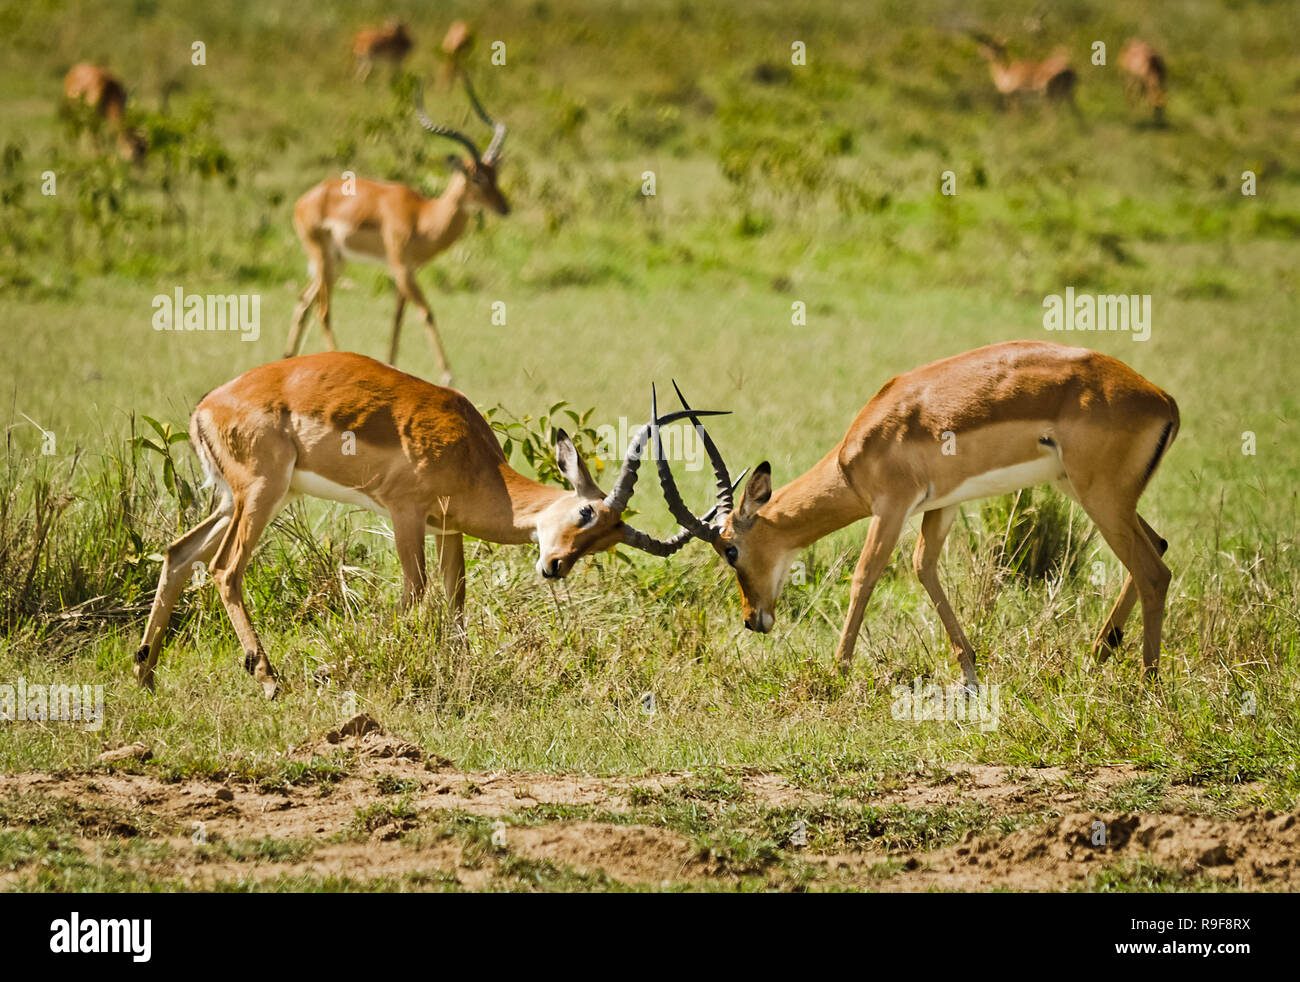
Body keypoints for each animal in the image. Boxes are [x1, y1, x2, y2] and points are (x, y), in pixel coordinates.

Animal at [134, 352, 723, 698]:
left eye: (601, 543)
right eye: (585, 513)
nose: (555, 566)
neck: (472, 456)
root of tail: (206, 407)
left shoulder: (447, 529)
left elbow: (455, 599)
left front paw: (460, 674)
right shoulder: (406, 514)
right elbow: (415, 592)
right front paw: (335, 671)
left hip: (234, 500)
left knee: (179, 553)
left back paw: (144, 673)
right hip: (261, 494)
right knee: (224, 568)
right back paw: (269, 679)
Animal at [285, 74, 509, 384]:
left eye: (495, 174)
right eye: (476, 178)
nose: (505, 208)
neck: (423, 217)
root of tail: (304, 199)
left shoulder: (408, 271)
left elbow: (397, 320)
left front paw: (392, 366)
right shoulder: (401, 269)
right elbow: (426, 313)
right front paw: (447, 375)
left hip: (336, 263)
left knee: (303, 302)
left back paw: (287, 359)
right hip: (324, 261)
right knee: (323, 311)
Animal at [655, 341, 1180, 686]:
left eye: (730, 550)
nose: (752, 620)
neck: (855, 453)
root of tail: (1163, 400)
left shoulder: (891, 506)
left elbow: (865, 574)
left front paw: (838, 670)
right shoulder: (941, 504)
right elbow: (923, 566)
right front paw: (968, 669)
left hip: (1101, 498)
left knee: (1154, 570)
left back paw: (1147, 685)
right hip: (1091, 493)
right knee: (1157, 547)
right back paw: (1098, 654)